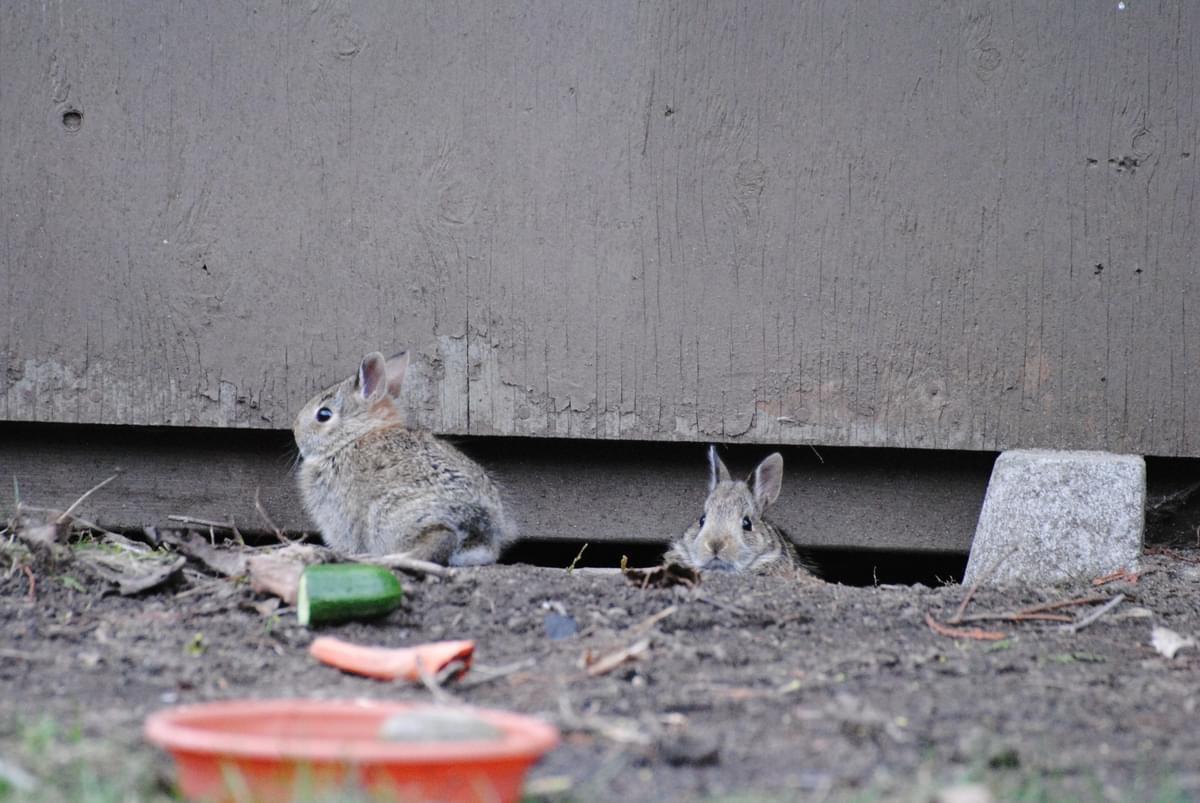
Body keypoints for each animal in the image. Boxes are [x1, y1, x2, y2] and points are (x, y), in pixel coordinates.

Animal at [292, 350, 516, 565]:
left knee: (441, 540)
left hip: (390, 516)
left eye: (323, 415)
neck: (351, 438)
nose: (295, 432)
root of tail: (479, 534)